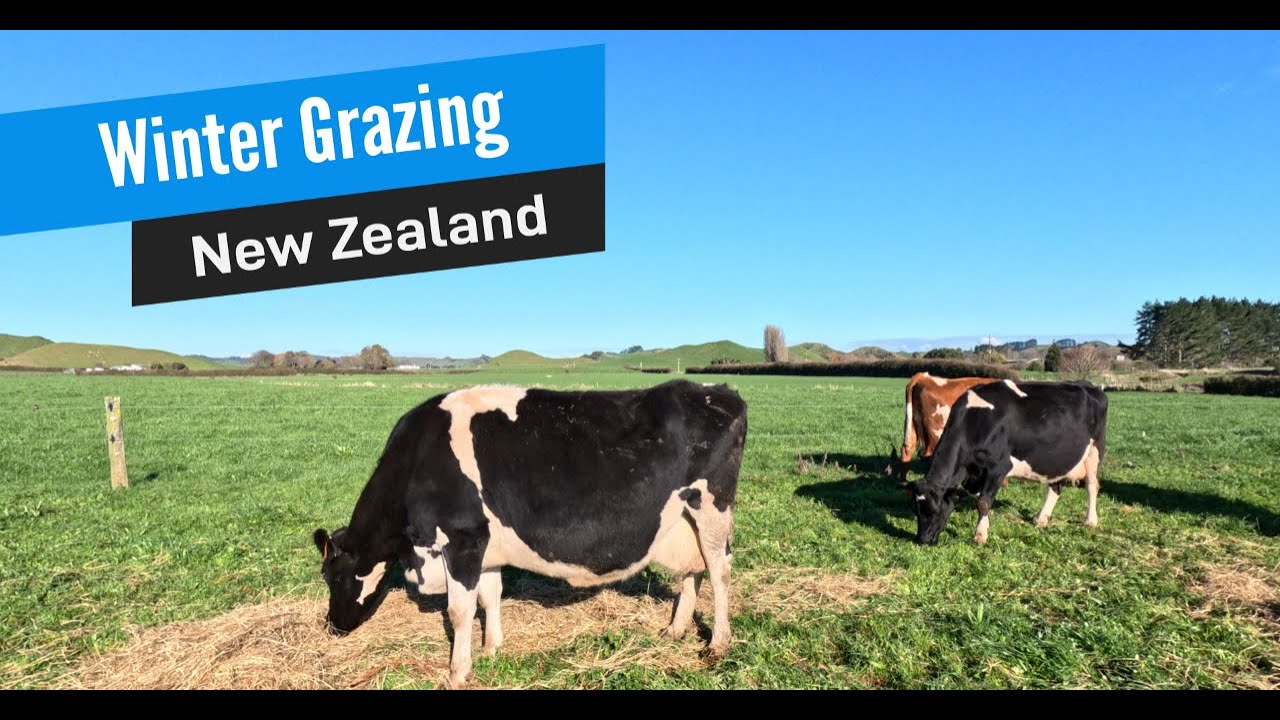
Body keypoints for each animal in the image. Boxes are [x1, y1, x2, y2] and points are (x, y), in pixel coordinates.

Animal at [312, 379, 748, 688]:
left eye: (332, 576)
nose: (332, 626)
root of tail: (717, 390)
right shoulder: (485, 547)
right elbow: (490, 596)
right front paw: (491, 649)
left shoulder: (462, 539)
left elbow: (459, 611)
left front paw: (458, 672)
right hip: (683, 519)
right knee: (692, 571)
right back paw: (675, 630)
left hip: (712, 505)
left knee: (719, 572)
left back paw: (717, 644)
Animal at [901, 379, 1108, 546]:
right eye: (916, 510)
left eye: (934, 511)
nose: (923, 540)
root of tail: (1091, 386)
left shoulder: (998, 468)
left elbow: (983, 502)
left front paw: (980, 535)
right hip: (1057, 458)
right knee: (1055, 487)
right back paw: (1041, 519)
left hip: (1094, 452)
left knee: (1092, 486)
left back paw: (1090, 521)